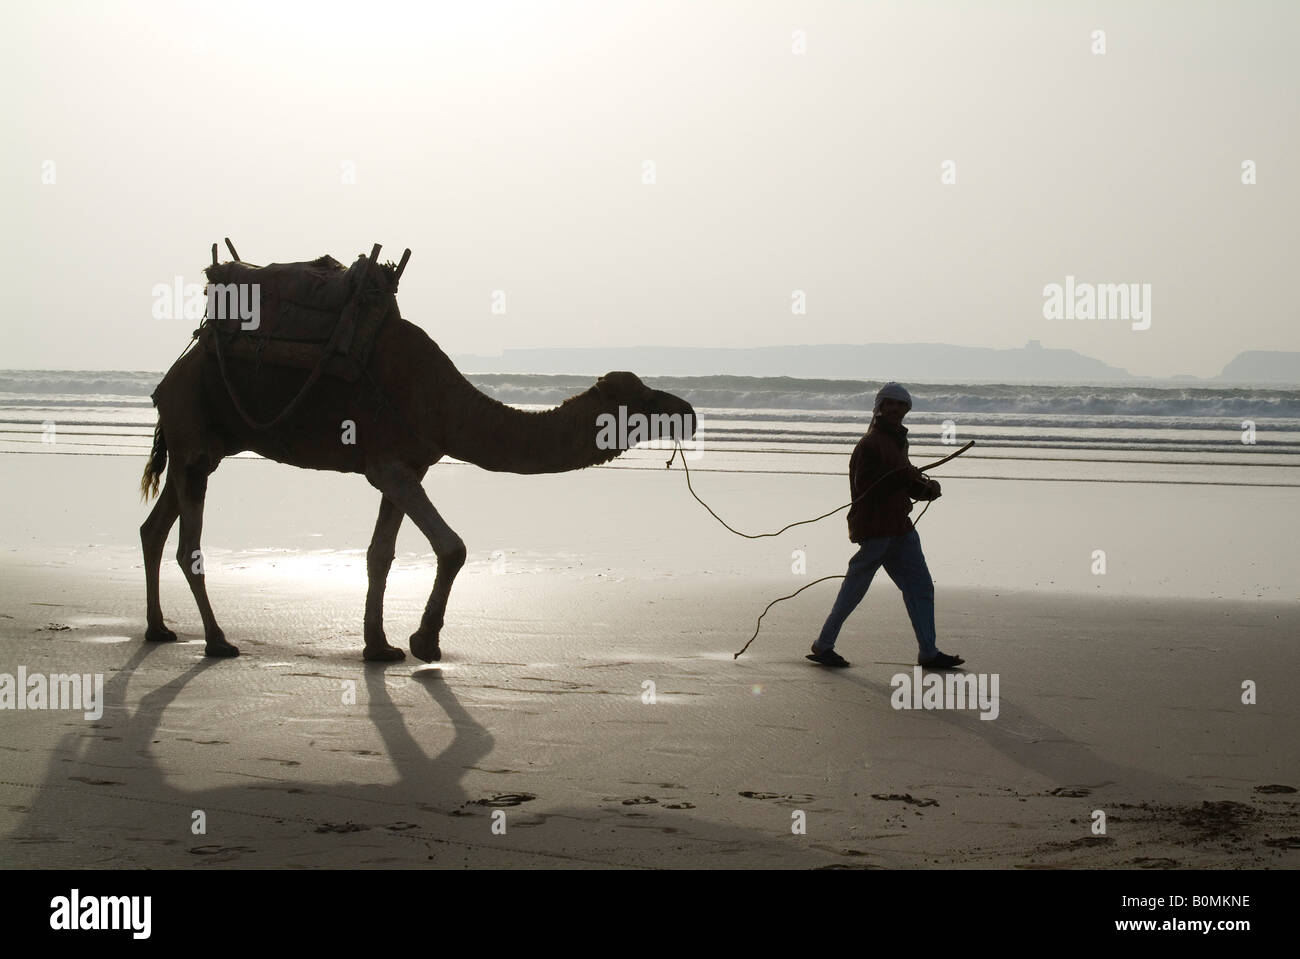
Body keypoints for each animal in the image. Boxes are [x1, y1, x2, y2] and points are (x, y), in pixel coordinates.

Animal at [139, 313, 696, 663]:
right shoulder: (390, 465)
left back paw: (158, 628)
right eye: (645, 398)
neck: (447, 406)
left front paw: (379, 647)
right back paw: (217, 642)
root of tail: (167, 380)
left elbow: (380, 555)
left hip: (202, 443)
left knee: (153, 528)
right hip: (193, 430)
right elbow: (453, 547)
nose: (687, 411)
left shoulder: (407, 466)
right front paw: (425, 643)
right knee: (187, 544)